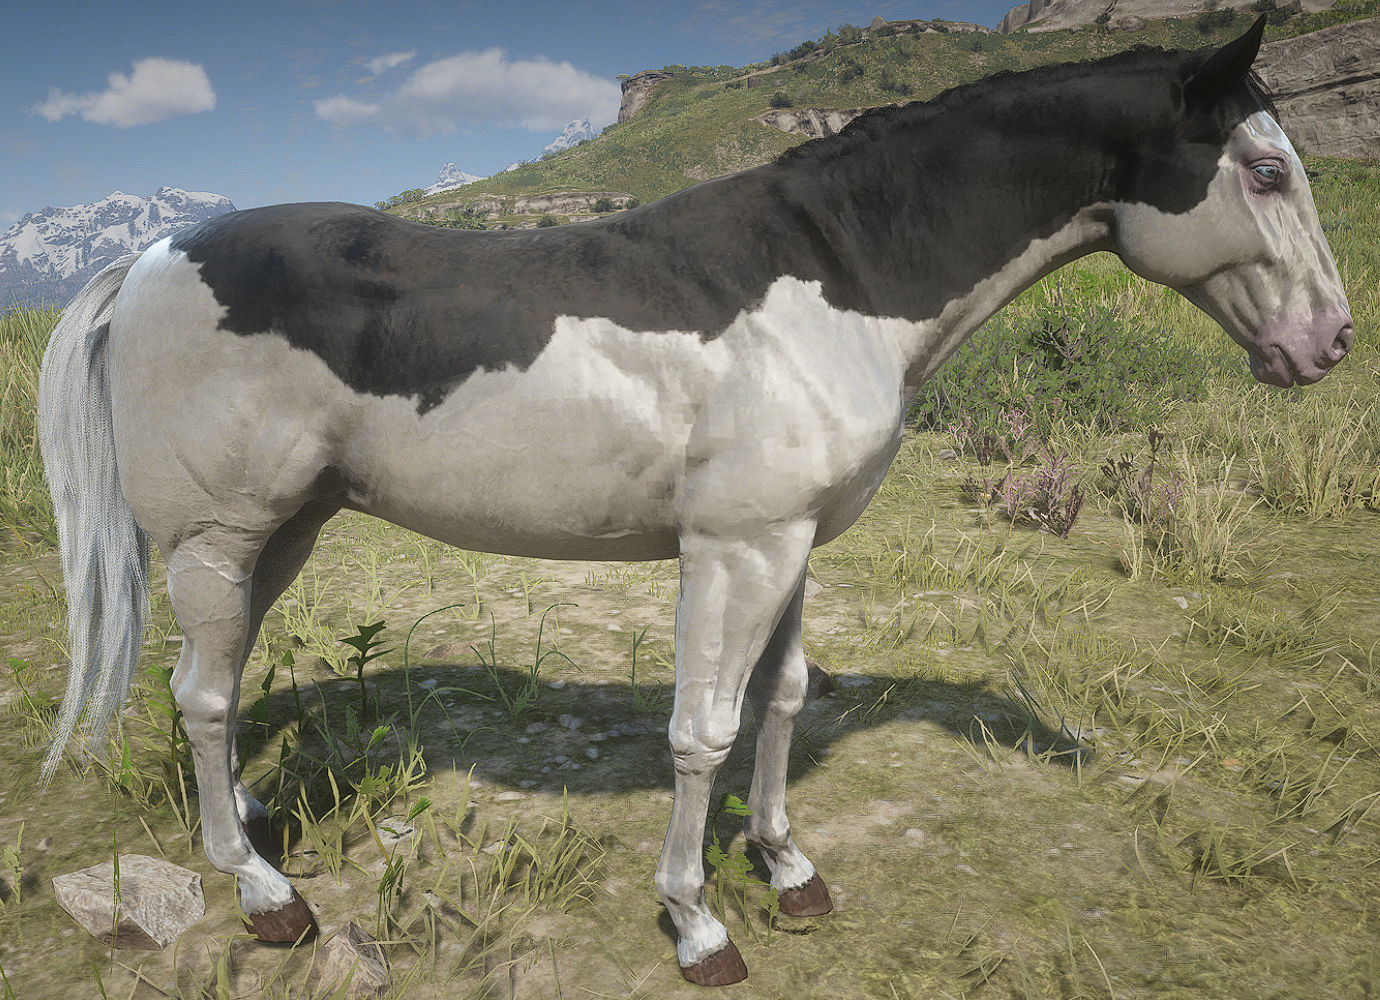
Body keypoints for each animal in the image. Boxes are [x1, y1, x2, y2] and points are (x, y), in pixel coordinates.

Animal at [37, 18, 1351, 986]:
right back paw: (260, 889)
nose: (1328, 342)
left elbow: (783, 699)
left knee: (211, 684)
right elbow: (701, 732)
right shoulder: (733, 549)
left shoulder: (795, 543)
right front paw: (698, 921)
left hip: (287, 530)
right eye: (1266, 169)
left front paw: (786, 867)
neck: (838, 276)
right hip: (216, 535)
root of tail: (148, 257)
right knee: (204, 695)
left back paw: (252, 818)